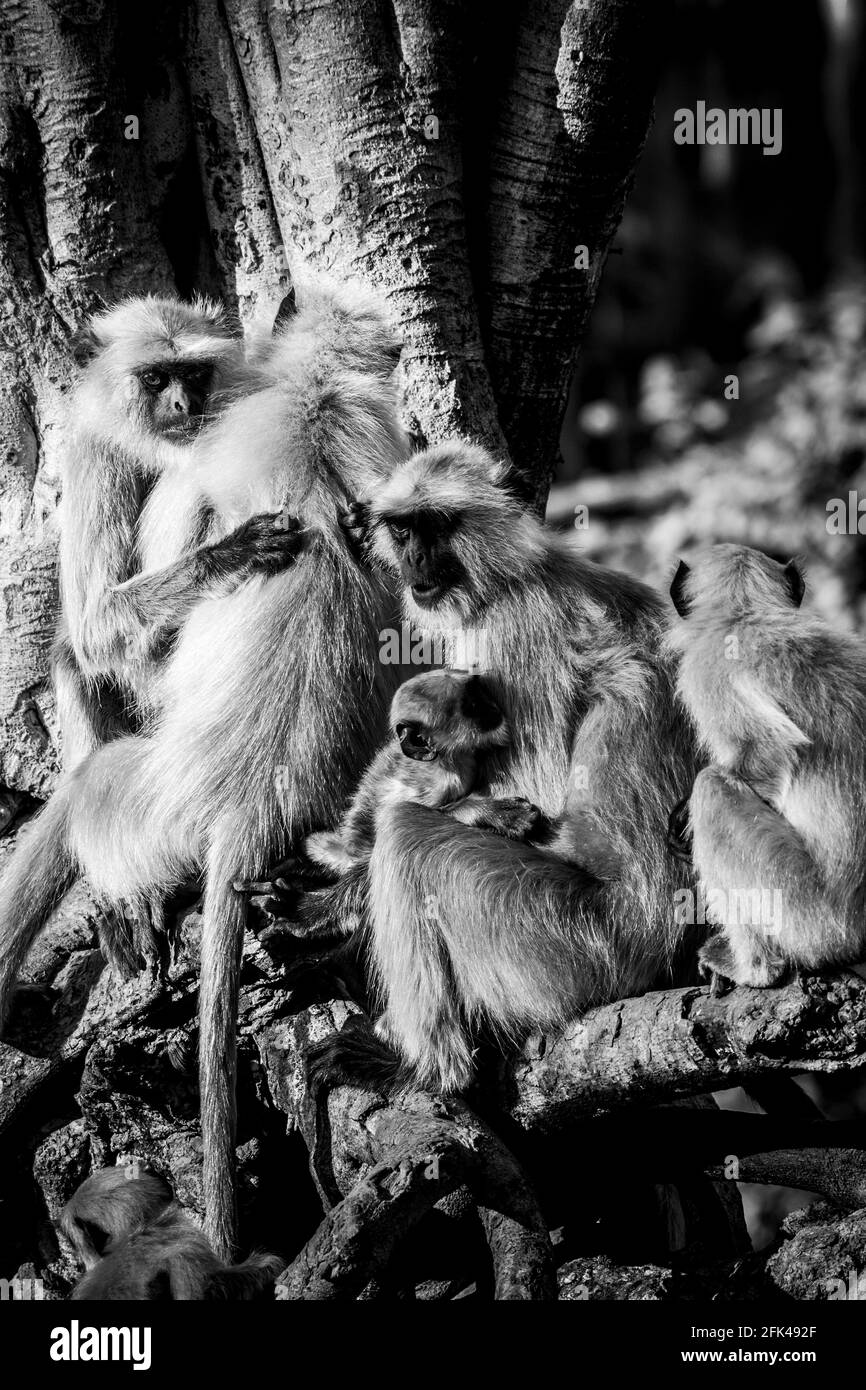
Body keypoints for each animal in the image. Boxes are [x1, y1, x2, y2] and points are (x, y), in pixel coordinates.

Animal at [0, 275, 409, 1260]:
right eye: (158, 381)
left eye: (194, 374)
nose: (185, 409)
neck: (314, 395)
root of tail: (250, 801)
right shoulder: (99, 454)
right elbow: (96, 628)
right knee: (79, 650)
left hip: (143, 797)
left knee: (81, 788)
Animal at [306, 440, 699, 1095]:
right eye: (402, 528)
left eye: (438, 525)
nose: (414, 559)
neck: (521, 576)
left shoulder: (517, 635)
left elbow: (544, 813)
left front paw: (330, 909)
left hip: (568, 945)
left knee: (408, 838)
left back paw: (423, 1065)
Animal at [666, 543, 866, 991]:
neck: (747, 610)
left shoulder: (709, 665)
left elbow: (767, 750)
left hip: (807, 911)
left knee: (713, 787)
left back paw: (754, 968)